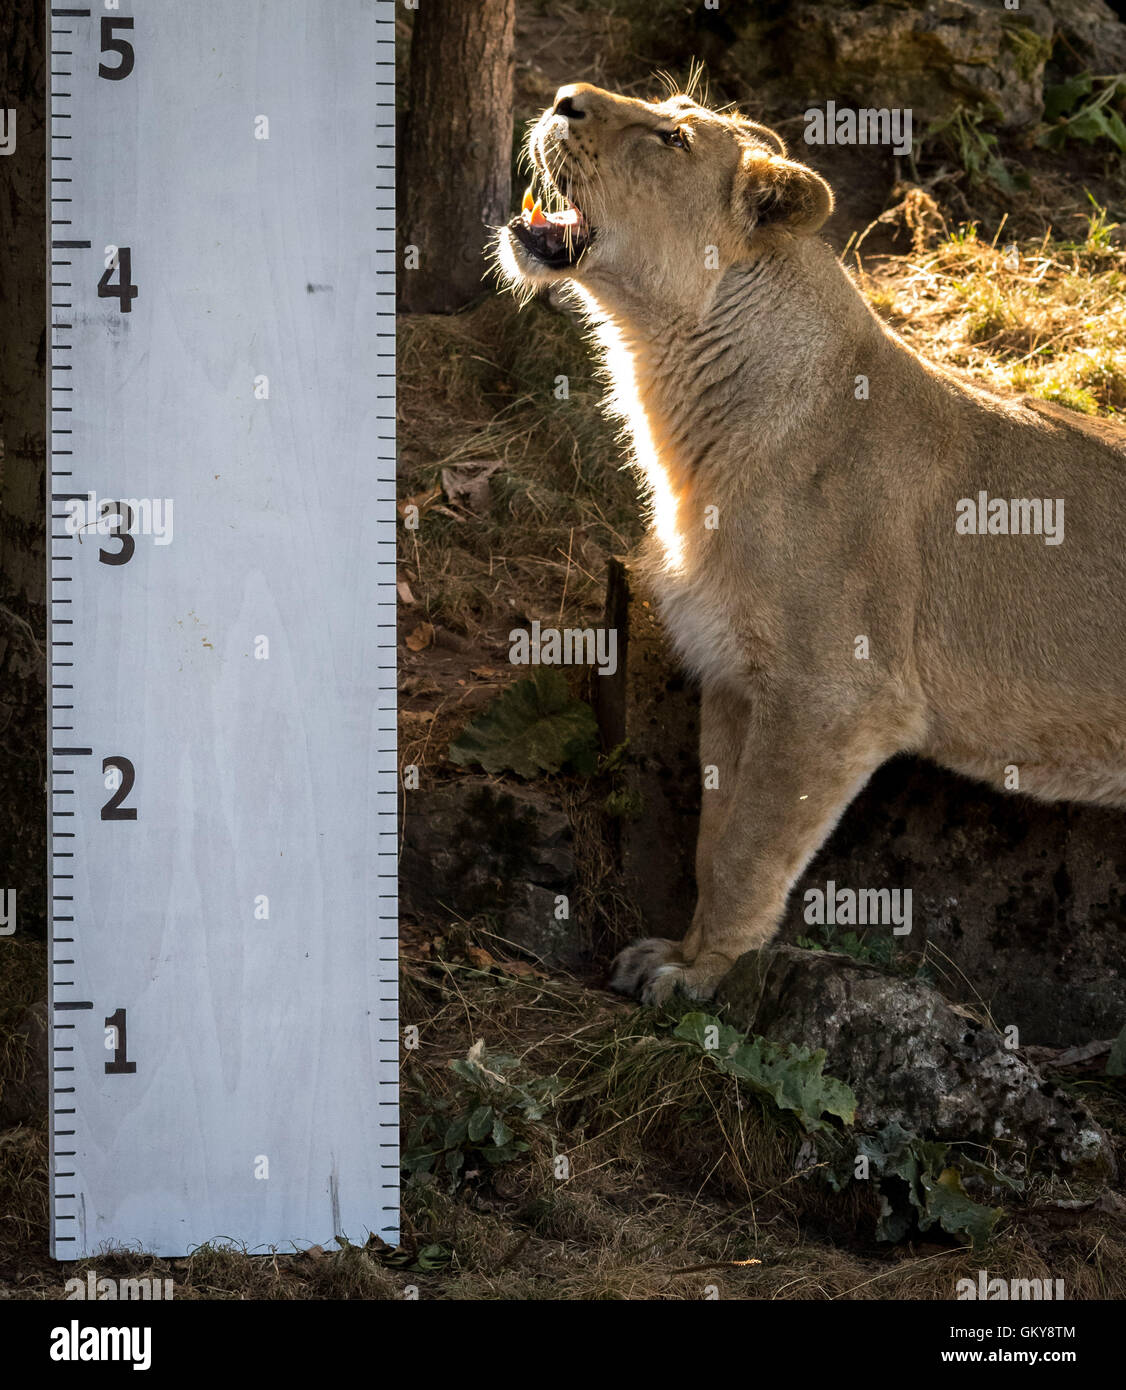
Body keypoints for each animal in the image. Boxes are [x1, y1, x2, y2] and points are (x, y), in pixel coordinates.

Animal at [496, 82, 1126, 1005]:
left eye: (673, 138)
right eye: (671, 111)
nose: (563, 96)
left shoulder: (836, 695)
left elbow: (750, 849)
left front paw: (701, 978)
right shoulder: (732, 674)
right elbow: (715, 838)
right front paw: (683, 954)